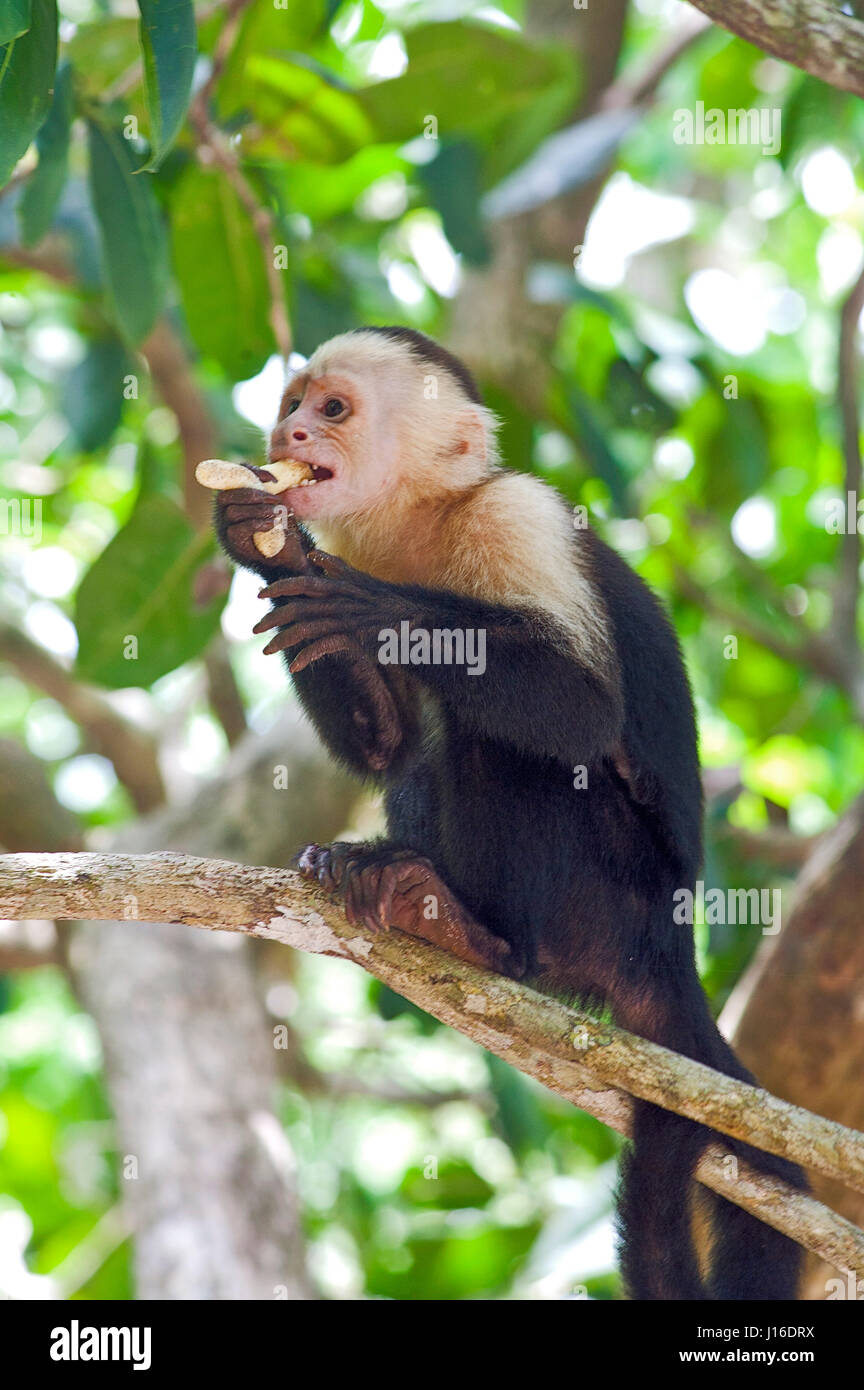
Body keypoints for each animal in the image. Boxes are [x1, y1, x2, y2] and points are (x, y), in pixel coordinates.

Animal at [213, 325, 811, 1301]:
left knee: (502, 741)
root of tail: (670, 942)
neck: (423, 526)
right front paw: (262, 544)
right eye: (291, 404)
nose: (290, 436)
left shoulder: (515, 518)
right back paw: (397, 881)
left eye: (331, 408)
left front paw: (375, 610)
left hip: (612, 900)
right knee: (425, 750)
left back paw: (482, 936)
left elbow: (580, 712)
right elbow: (382, 743)